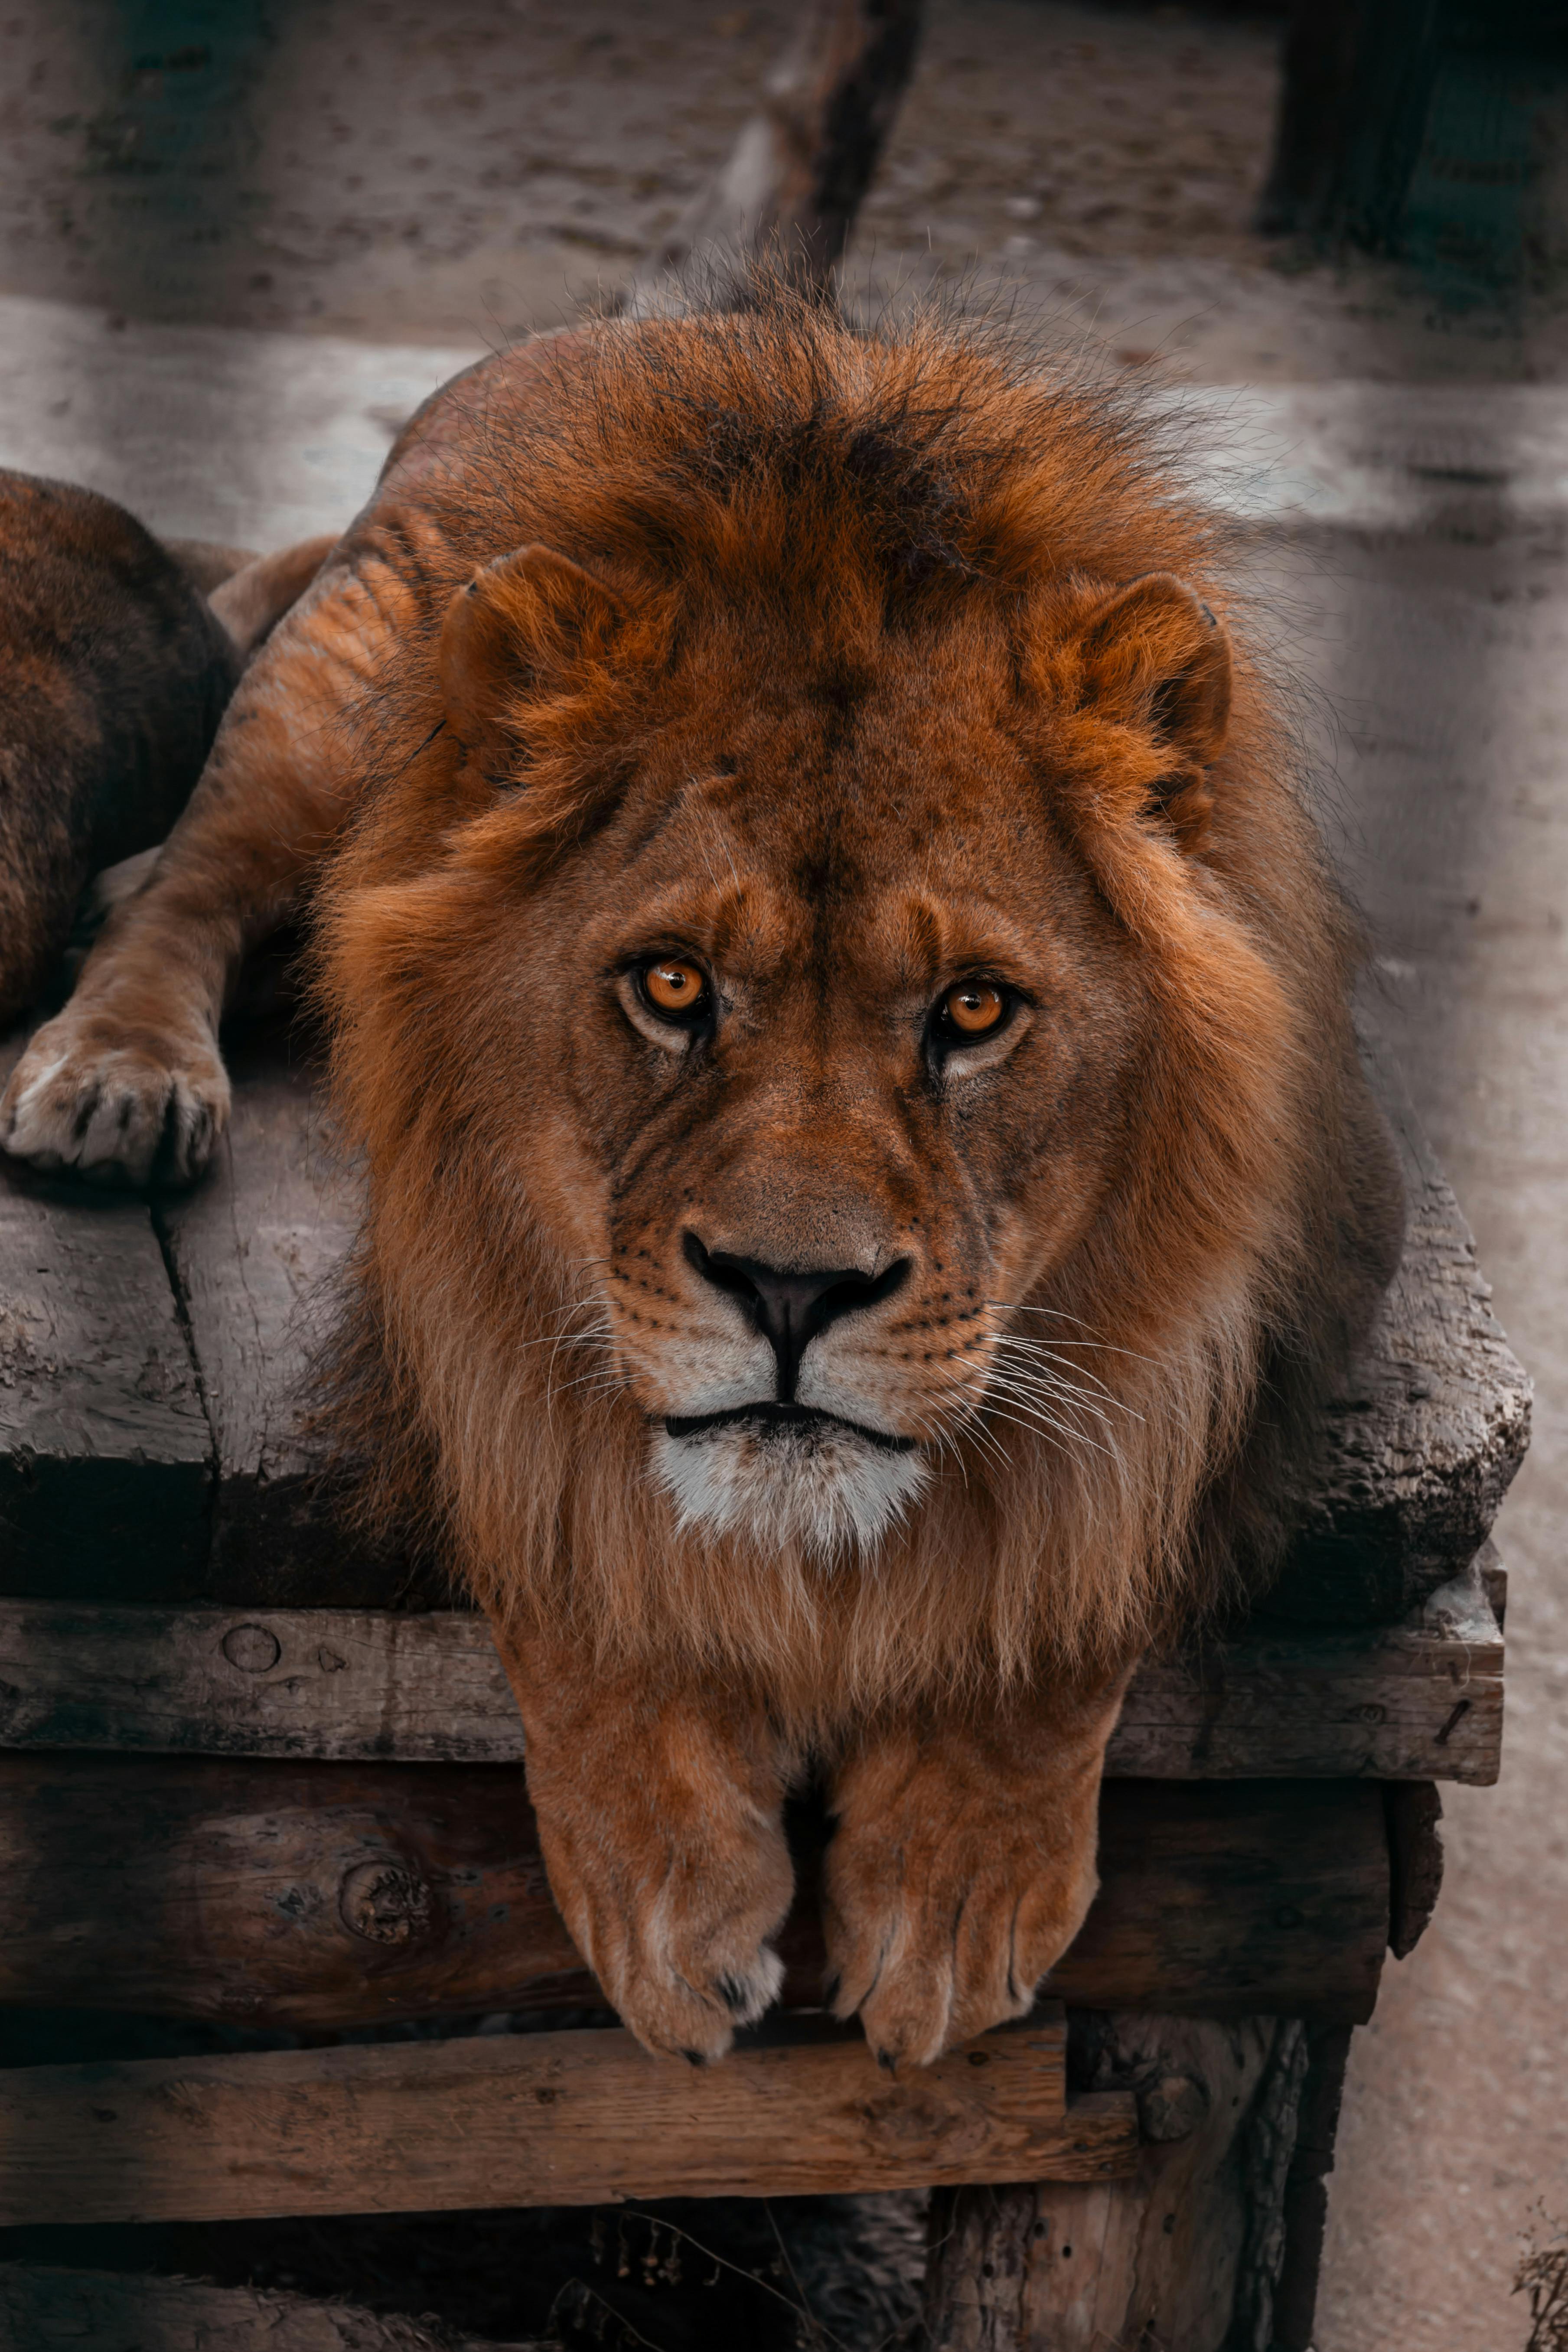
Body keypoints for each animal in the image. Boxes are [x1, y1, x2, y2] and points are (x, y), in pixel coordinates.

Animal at [0, 294, 1403, 2068]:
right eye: (669, 986)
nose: (791, 1291)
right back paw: (119, 1073)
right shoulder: (450, 1274)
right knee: (177, 885)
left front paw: (952, 1883)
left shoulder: (1289, 1288)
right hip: (339, 691)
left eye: (972, 1012)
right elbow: (565, 1537)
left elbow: (1084, 1553)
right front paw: (671, 1882)